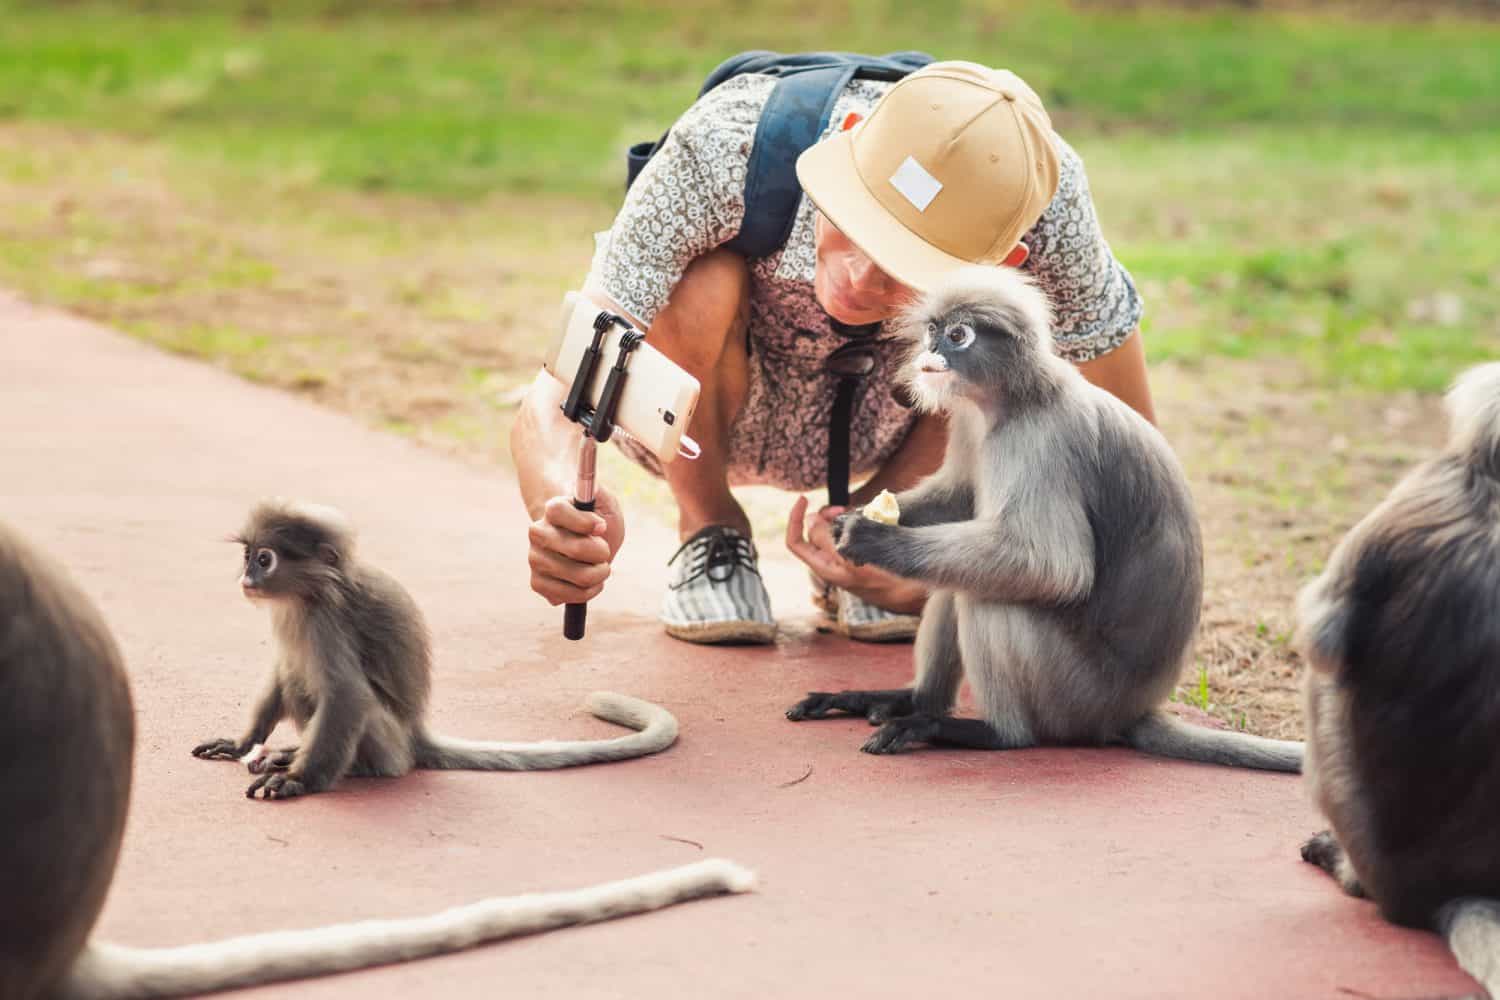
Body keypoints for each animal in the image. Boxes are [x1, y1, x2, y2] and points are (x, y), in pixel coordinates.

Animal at [192, 500, 677, 800]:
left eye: (265, 559)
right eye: (248, 556)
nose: (247, 579)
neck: (308, 595)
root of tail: (414, 736)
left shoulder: (325, 624)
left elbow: (348, 695)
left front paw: (299, 781)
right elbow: (282, 670)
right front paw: (243, 743)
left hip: (386, 744)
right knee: (296, 677)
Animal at [786, 265, 1302, 773]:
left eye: (958, 335)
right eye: (934, 331)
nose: (931, 352)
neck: (1012, 398)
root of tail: (1131, 710)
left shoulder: (1041, 440)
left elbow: (1054, 567)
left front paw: (870, 537)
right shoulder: (971, 419)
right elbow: (961, 498)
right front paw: (846, 520)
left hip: (1075, 696)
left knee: (988, 599)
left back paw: (986, 732)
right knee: (957, 581)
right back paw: (910, 702)